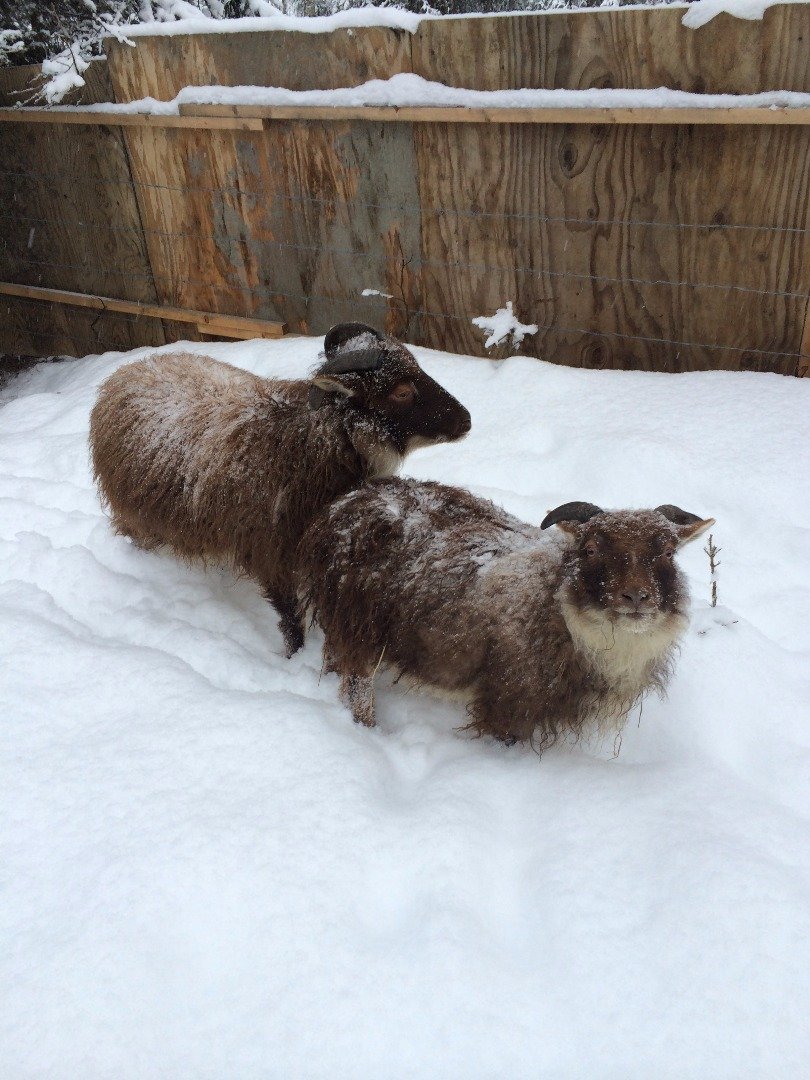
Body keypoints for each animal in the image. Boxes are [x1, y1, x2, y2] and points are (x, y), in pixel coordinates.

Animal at [89, 324, 471, 657]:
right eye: (402, 392)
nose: (466, 420)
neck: (302, 445)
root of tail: (130, 367)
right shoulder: (269, 555)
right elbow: (290, 620)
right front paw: (294, 658)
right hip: (133, 512)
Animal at [297, 479, 715, 748]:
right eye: (591, 549)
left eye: (668, 553)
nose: (637, 597)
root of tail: (347, 500)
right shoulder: (508, 701)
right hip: (358, 626)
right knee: (356, 690)